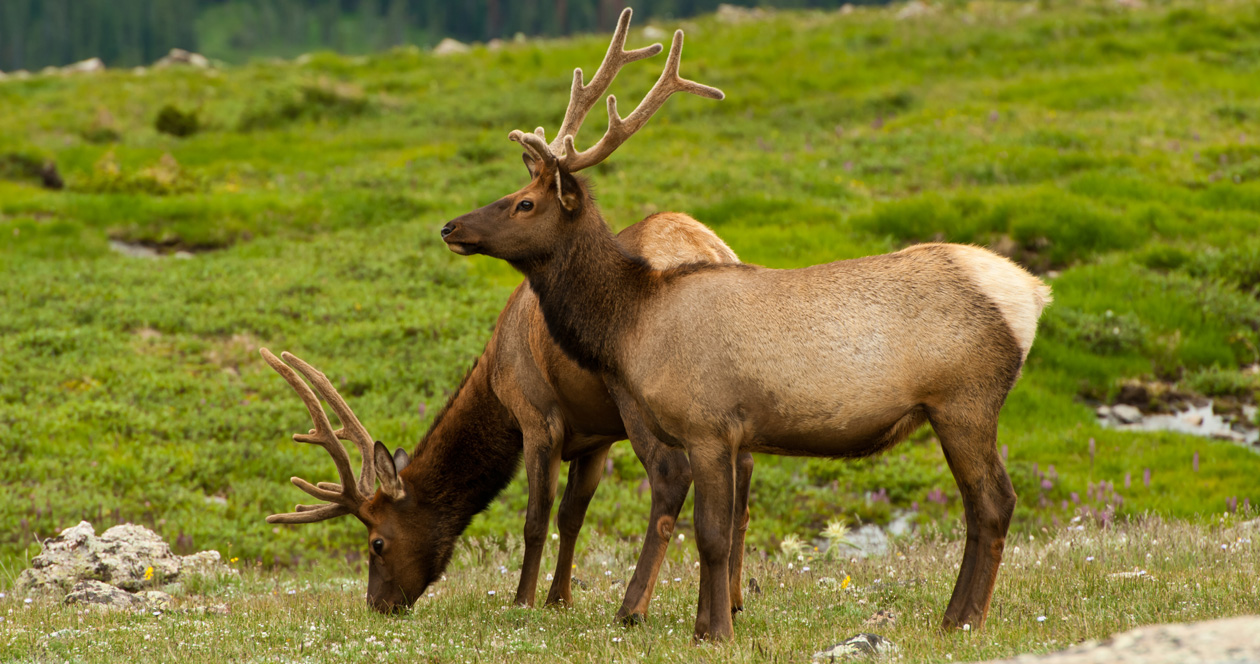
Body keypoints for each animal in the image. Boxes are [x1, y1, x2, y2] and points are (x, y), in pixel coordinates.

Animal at [261, 210, 754, 622]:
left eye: (376, 542)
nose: (377, 605)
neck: (494, 384)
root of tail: (709, 249)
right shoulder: (595, 435)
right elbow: (571, 516)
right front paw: (559, 600)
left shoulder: (537, 417)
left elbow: (535, 520)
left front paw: (523, 601)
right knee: (742, 479)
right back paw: (731, 600)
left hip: (643, 400)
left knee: (671, 476)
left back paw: (633, 610)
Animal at [439, 8, 1053, 641]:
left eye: (525, 203)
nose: (451, 226)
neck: (631, 325)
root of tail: (1033, 292)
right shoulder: (726, 434)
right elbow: (720, 529)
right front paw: (706, 623)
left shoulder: (708, 424)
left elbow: (709, 534)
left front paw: (713, 631)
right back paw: (956, 616)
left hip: (965, 399)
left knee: (993, 503)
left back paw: (964, 618)